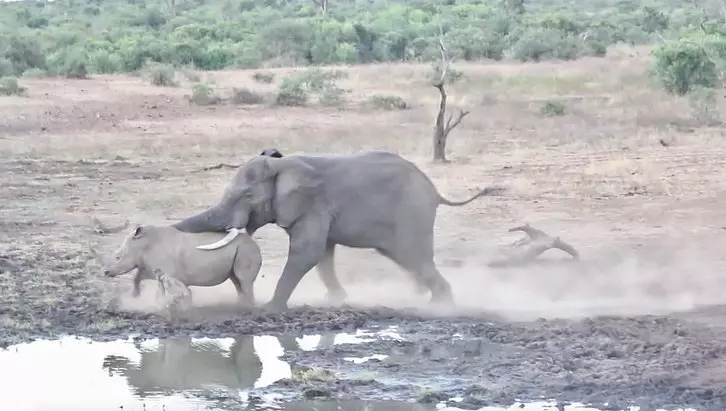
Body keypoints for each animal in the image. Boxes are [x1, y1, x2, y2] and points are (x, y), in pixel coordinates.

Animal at [101, 224, 264, 308]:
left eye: (118, 257)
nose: (106, 272)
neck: (142, 244)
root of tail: (254, 242)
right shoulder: (152, 268)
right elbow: (141, 278)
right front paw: (139, 297)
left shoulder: (166, 271)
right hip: (242, 250)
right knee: (236, 280)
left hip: (246, 250)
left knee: (243, 280)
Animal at [173, 151, 506, 312]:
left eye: (247, 196)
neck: (282, 165)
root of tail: (436, 192)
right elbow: (323, 254)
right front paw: (336, 300)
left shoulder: (312, 206)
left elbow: (307, 252)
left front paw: (269, 309)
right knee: (407, 259)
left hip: (412, 213)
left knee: (415, 257)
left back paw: (440, 305)